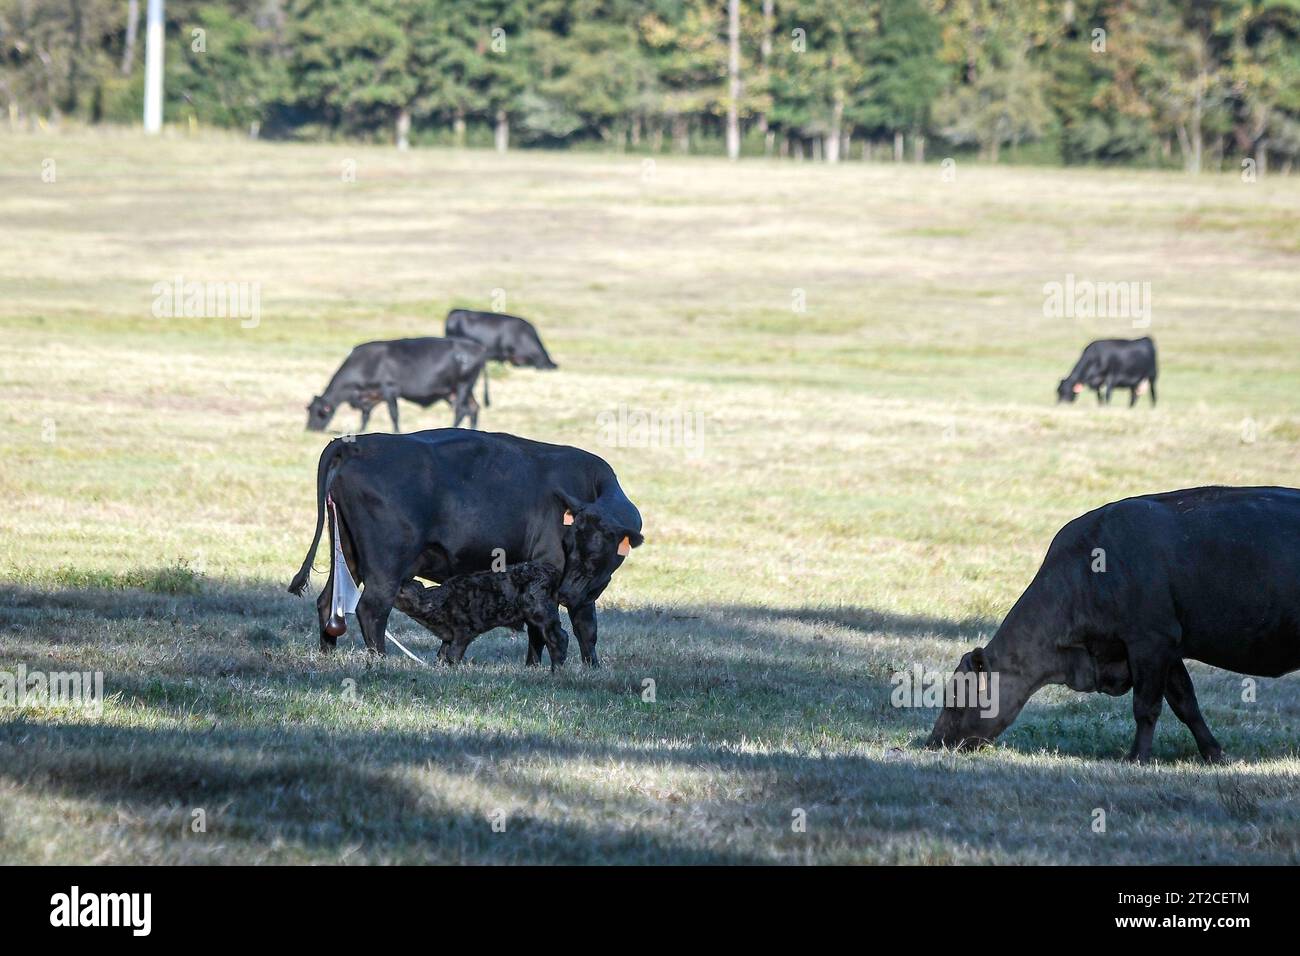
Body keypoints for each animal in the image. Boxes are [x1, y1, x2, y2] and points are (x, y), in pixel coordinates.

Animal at [305, 337, 487, 433]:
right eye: (309, 410)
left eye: (319, 412)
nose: (310, 429)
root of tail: (478, 348)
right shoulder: (370, 398)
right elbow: (365, 416)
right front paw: (361, 430)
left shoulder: (390, 390)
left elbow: (394, 414)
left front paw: (397, 431)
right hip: (454, 391)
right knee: (473, 408)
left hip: (463, 385)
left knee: (461, 410)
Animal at [393, 562, 569, 670]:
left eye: (400, 588)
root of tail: (548, 570)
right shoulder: (448, 636)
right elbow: (441, 653)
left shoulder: (464, 631)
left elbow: (453, 654)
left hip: (540, 611)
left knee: (558, 637)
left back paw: (556, 669)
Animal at [927, 486, 1300, 763]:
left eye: (956, 698)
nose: (933, 741)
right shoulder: (1166, 649)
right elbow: (1185, 703)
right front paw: (1214, 753)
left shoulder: (1150, 642)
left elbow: (1146, 707)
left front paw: (1137, 757)